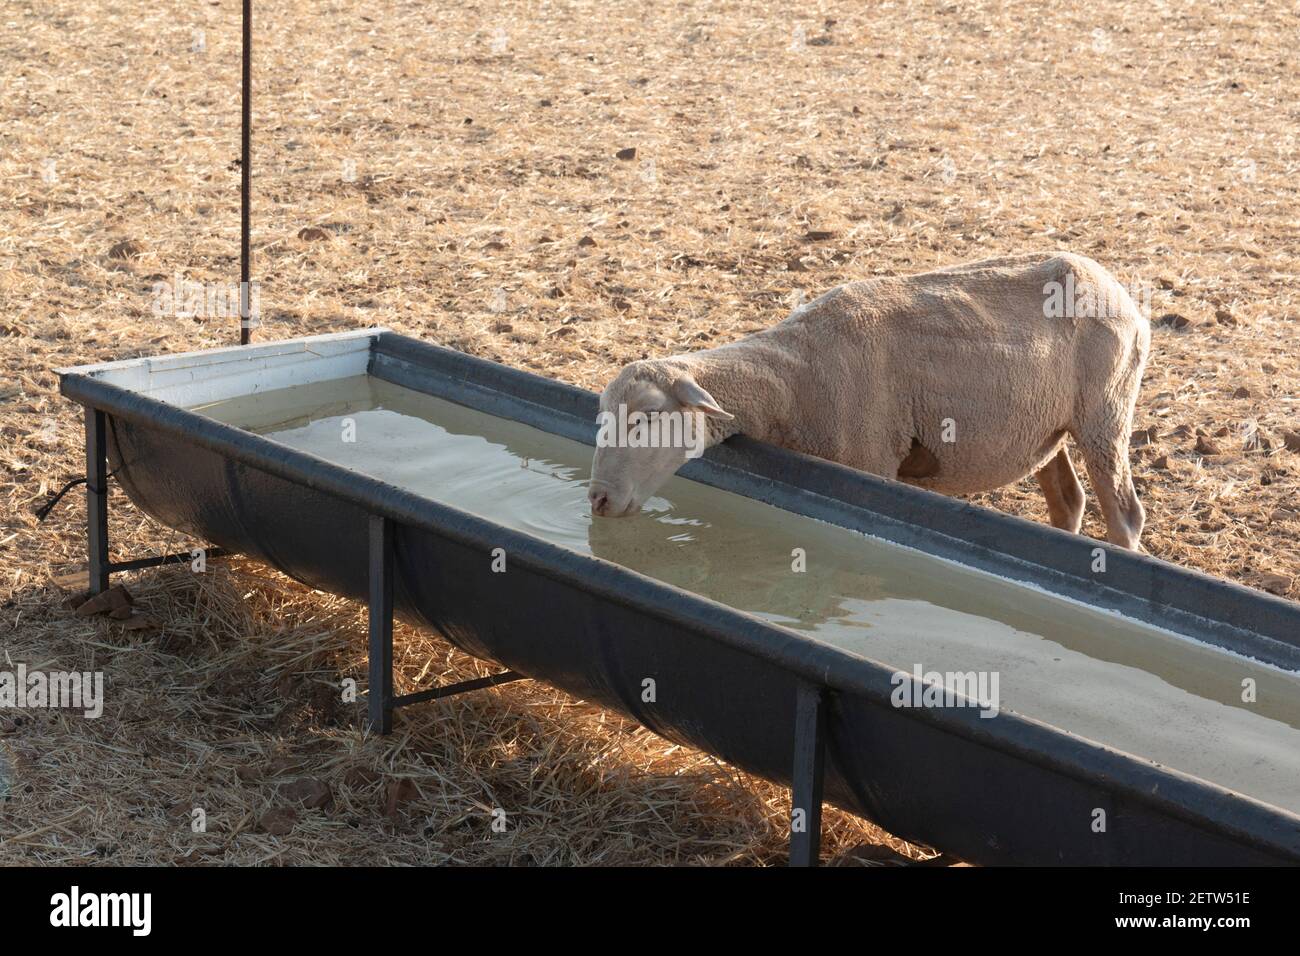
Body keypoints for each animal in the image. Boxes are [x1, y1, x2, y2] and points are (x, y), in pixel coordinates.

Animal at [588, 252, 1150, 549]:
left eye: (645, 420)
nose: (597, 500)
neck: (794, 376)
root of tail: (1111, 282)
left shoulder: (874, 462)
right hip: (1047, 424)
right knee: (1067, 500)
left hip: (1105, 413)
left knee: (1124, 514)